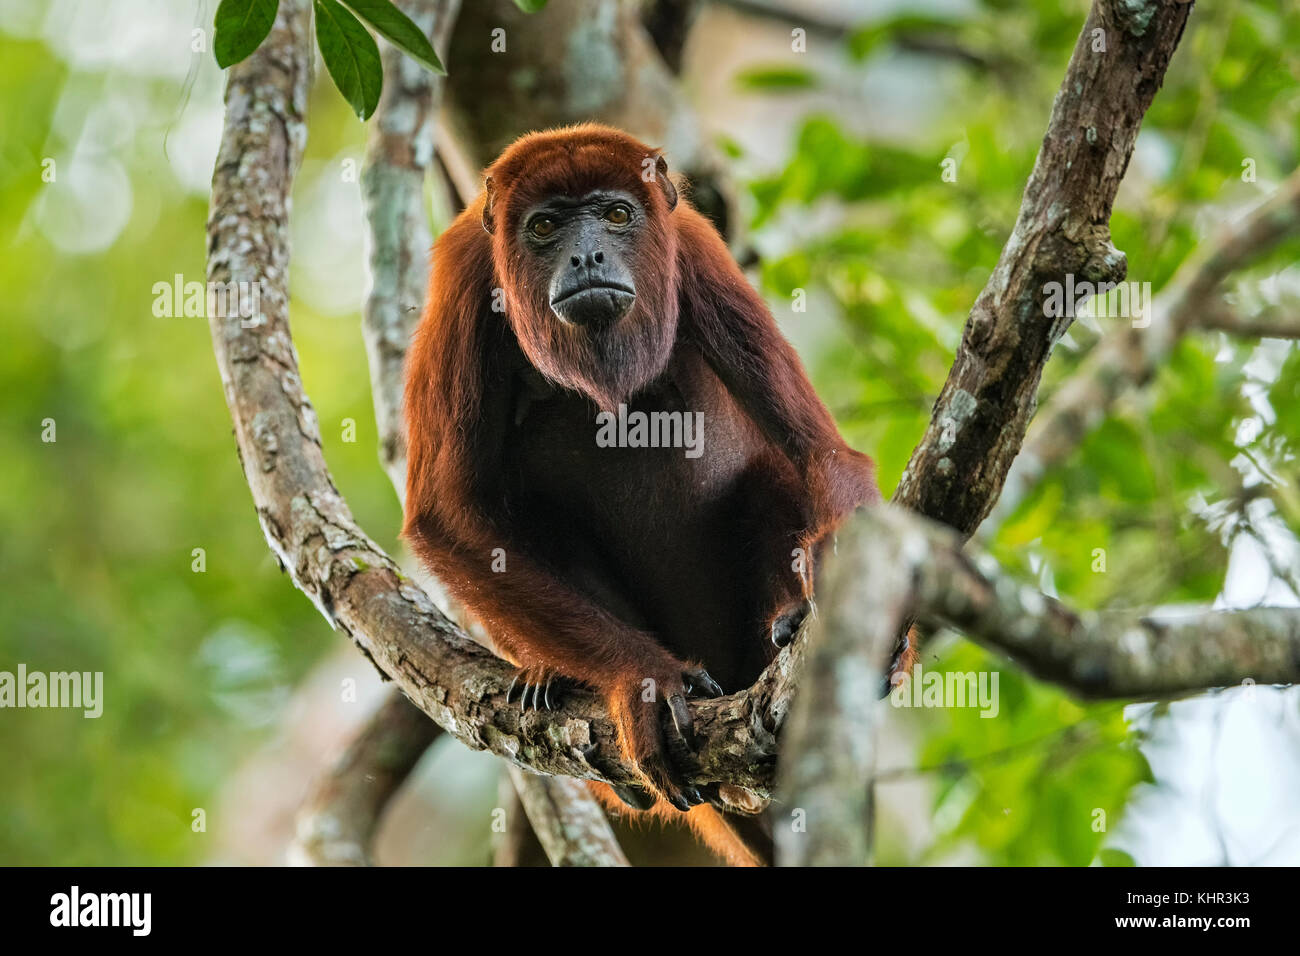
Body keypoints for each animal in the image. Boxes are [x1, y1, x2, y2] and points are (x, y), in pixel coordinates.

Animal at [403, 124, 909, 866]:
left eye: (617, 214)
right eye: (544, 226)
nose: (587, 254)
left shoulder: (695, 249)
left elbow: (816, 451)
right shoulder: (465, 279)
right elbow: (449, 518)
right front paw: (639, 682)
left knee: (769, 481)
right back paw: (553, 678)